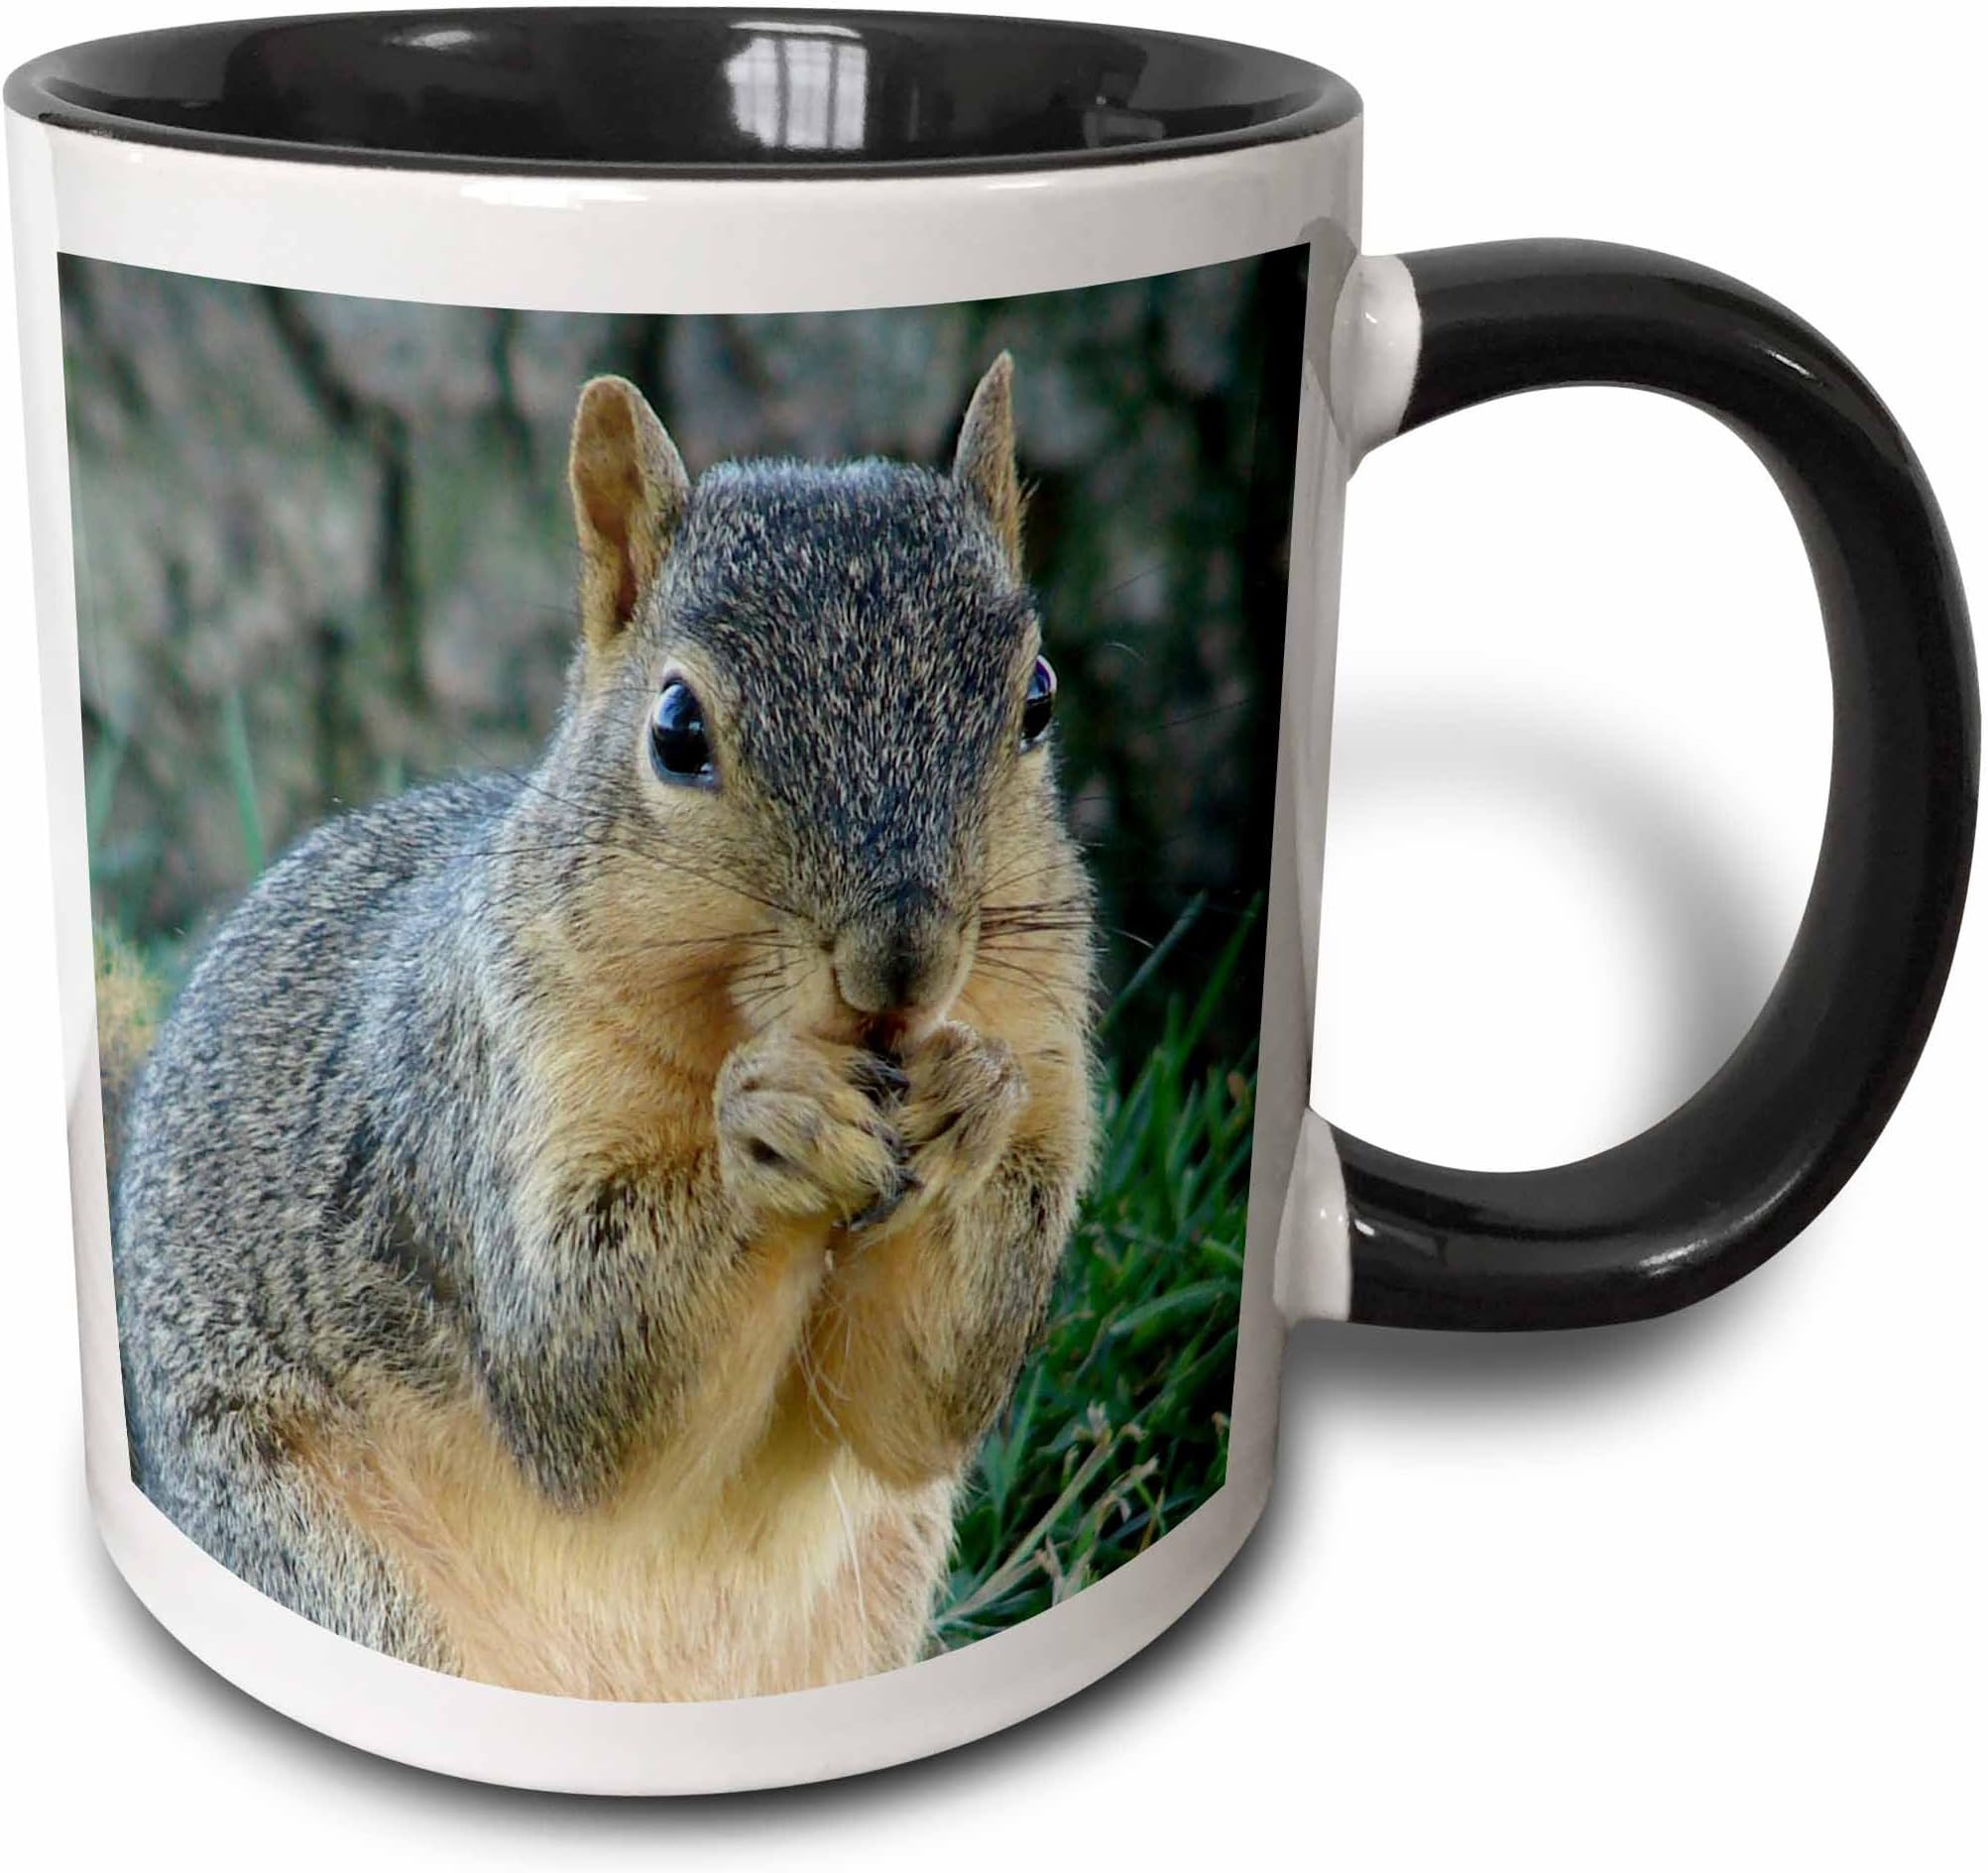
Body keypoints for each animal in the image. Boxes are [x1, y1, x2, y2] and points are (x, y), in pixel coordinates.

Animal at [110, 355, 1098, 1701]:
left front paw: (968, 1101)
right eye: (677, 730)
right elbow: (580, 1384)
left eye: (1037, 700)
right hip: (328, 1577)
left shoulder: (1052, 1062)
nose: (898, 962)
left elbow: (918, 1406)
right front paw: (771, 1129)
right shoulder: (480, 1087)